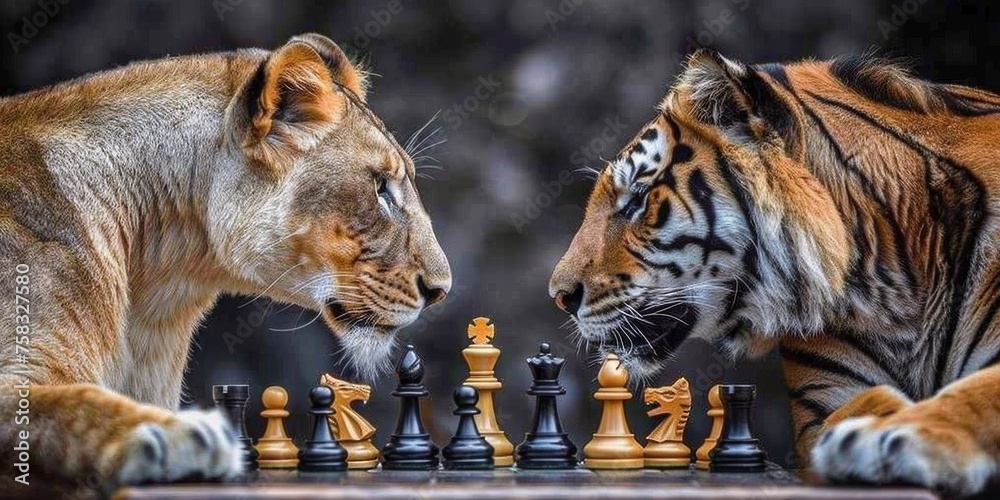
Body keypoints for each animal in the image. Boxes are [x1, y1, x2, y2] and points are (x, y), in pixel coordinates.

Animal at [549, 49, 1000, 495]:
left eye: (638, 200)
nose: (560, 296)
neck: (893, 286)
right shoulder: (821, 404)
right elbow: (846, 412)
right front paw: (878, 417)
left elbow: (979, 390)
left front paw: (886, 436)